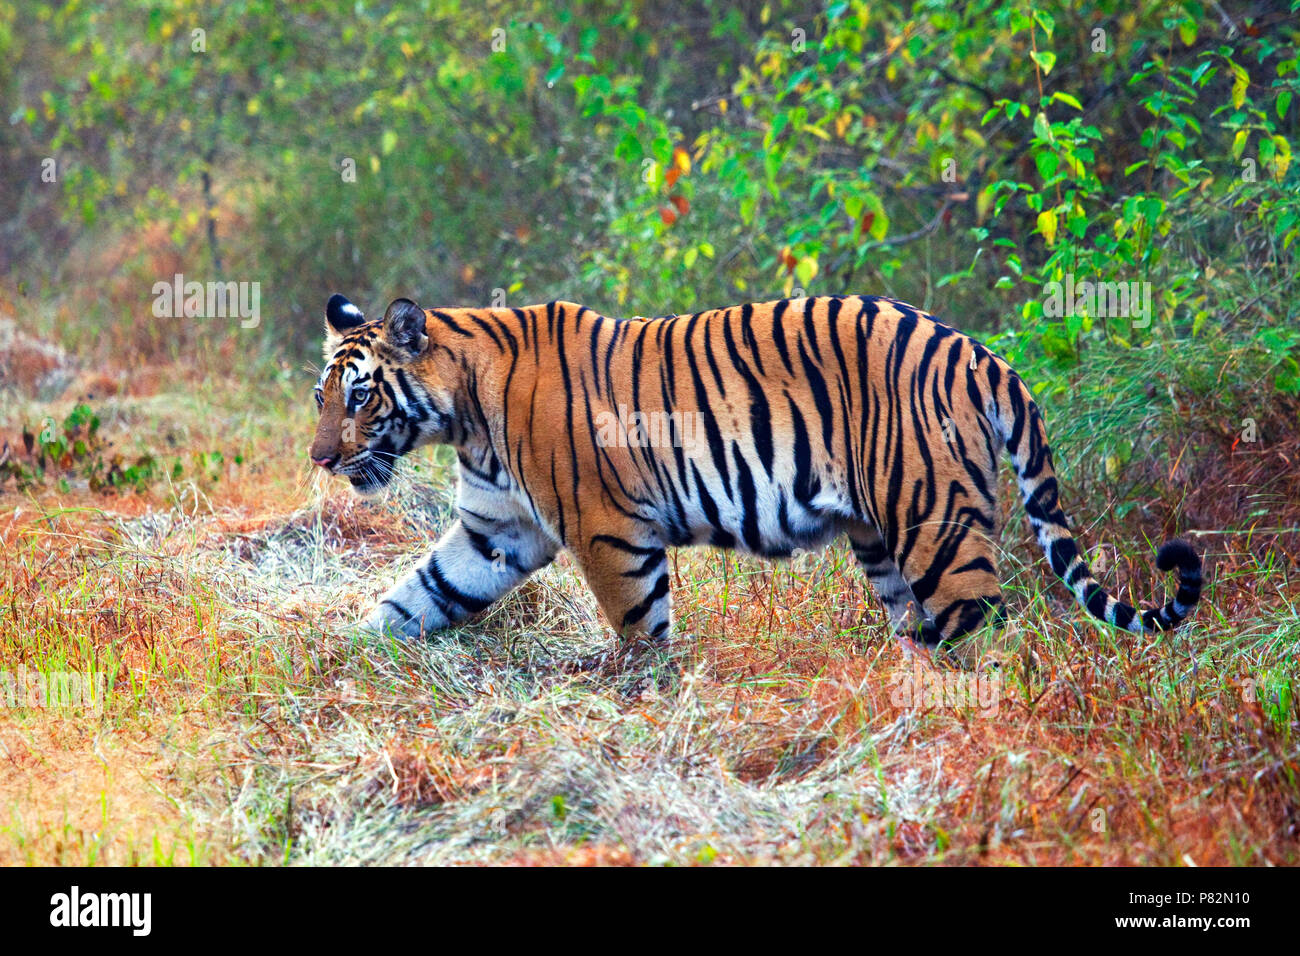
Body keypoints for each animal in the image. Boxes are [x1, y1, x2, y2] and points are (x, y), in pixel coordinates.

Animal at [309, 292, 1203, 665]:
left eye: (359, 396)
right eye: (322, 398)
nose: (319, 459)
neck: (465, 415)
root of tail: (980, 353)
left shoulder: (607, 527)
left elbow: (639, 624)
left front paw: (646, 695)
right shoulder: (497, 533)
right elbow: (419, 595)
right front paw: (344, 657)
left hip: (935, 524)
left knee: (989, 630)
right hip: (883, 540)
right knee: (925, 628)